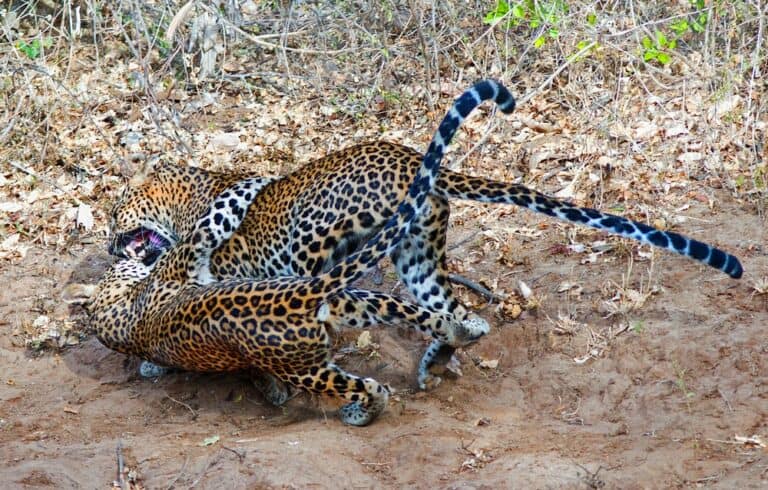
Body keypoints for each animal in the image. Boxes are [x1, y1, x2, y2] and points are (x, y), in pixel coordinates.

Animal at [62, 80, 518, 425]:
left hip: (311, 238)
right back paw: (445, 352)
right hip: (417, 254)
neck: (182, 203)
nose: (108, 246)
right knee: (449, 308)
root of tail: (407, 158)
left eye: (114, 216)